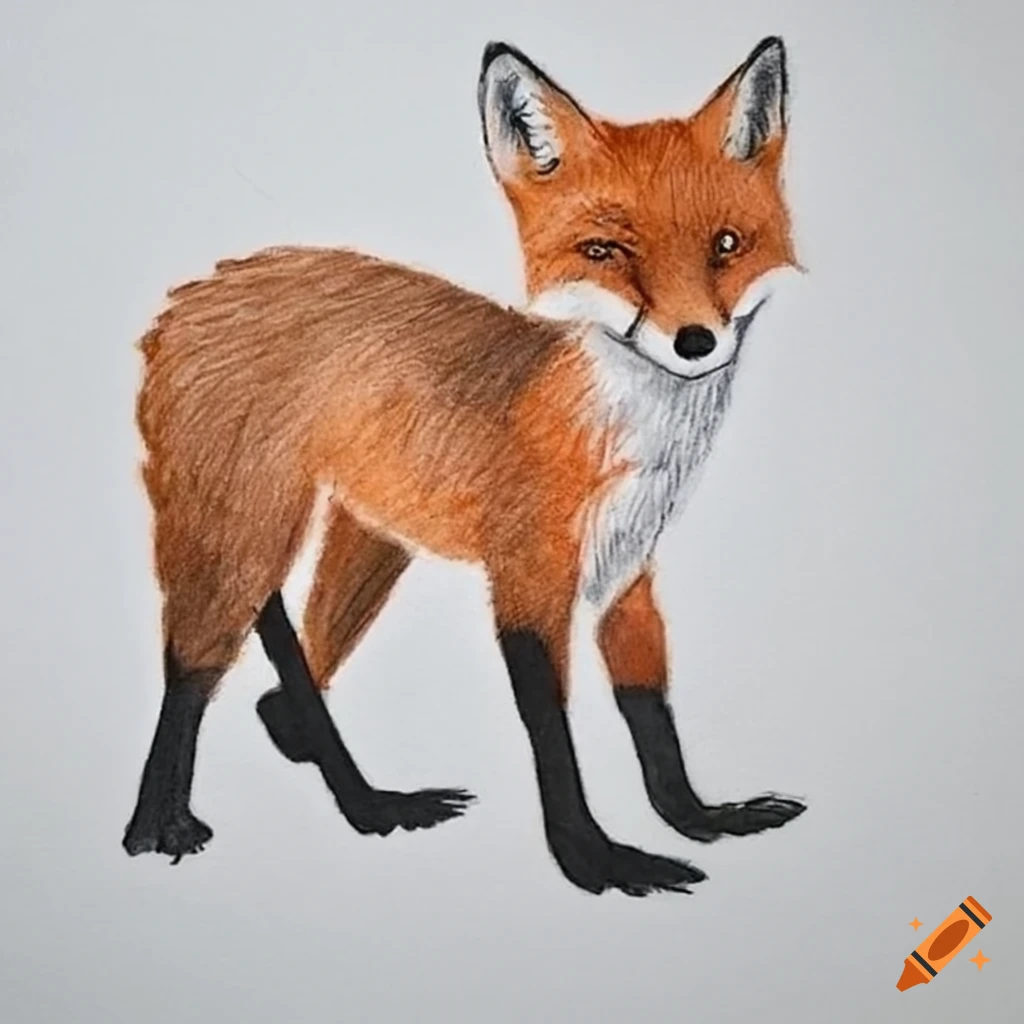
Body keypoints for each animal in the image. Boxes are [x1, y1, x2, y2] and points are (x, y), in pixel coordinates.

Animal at [123, 36, 805, 896]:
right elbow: (554, 740)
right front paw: (593, 860)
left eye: (726, 246)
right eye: (606, 252)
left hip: (367, 546)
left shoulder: (625, 575)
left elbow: (653, 723)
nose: (695, 342)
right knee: (190, 673)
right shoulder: (527, 580)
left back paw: (366, 805)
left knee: (281, 696)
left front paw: (700, 821)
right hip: (243, 540)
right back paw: (156, 829)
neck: (620, 430)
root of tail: (191, 293)